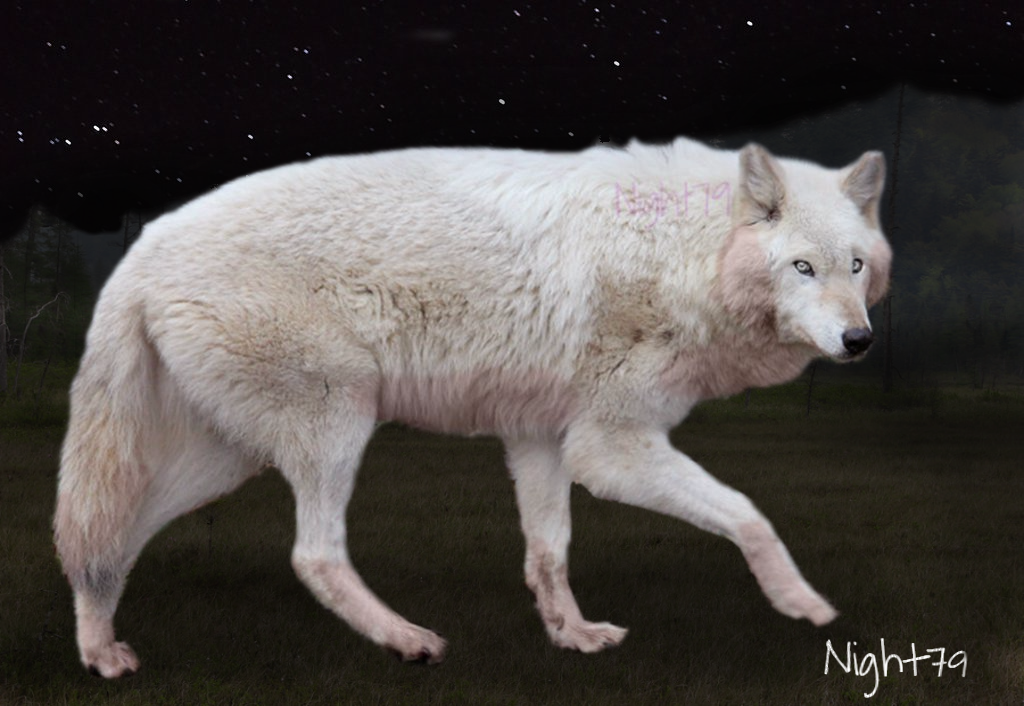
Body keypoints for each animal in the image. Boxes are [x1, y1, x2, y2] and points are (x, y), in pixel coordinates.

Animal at [54, 137, 890, 677]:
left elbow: (548, 552)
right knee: (312, 556)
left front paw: (571, 634)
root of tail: (141, 251)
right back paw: (405, 640)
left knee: (107, 541)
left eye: (855, 265)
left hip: (225, 461)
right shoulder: (611, 448)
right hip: (334, 428)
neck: (683, 254)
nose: (859, 341)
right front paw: (804, 604)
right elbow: (752, 517)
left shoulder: (541, 438)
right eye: (802, 268)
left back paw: (100, 653)